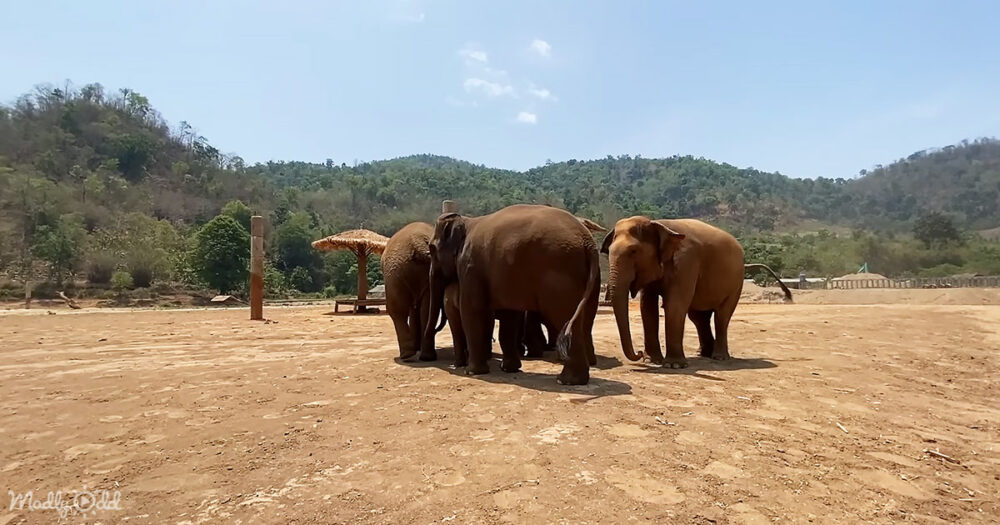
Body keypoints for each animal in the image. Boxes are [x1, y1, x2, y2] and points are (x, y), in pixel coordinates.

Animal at [423, 204, 601, 385]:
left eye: (431, 249)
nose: (426, 357)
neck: (466, 220)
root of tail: (587, 241)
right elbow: (509, 314)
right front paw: (510, 369)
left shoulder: (470, 266)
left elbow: (472, 309)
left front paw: (472, 372)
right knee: (580, 320)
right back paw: (574, 379)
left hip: (559, 275)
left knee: (563, 315)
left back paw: (565, 380)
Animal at [601, 216, 791, 368]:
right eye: (608, 252)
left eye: (633, 251)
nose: (639, 353)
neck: (659, 224)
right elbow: (647, 307)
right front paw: (652, 361)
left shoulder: (686, 262)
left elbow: (675, 305)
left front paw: (674, 365)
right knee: (699, 317)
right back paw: (704, 353)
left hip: (736, 283)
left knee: (722, 316)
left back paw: (719, 357)